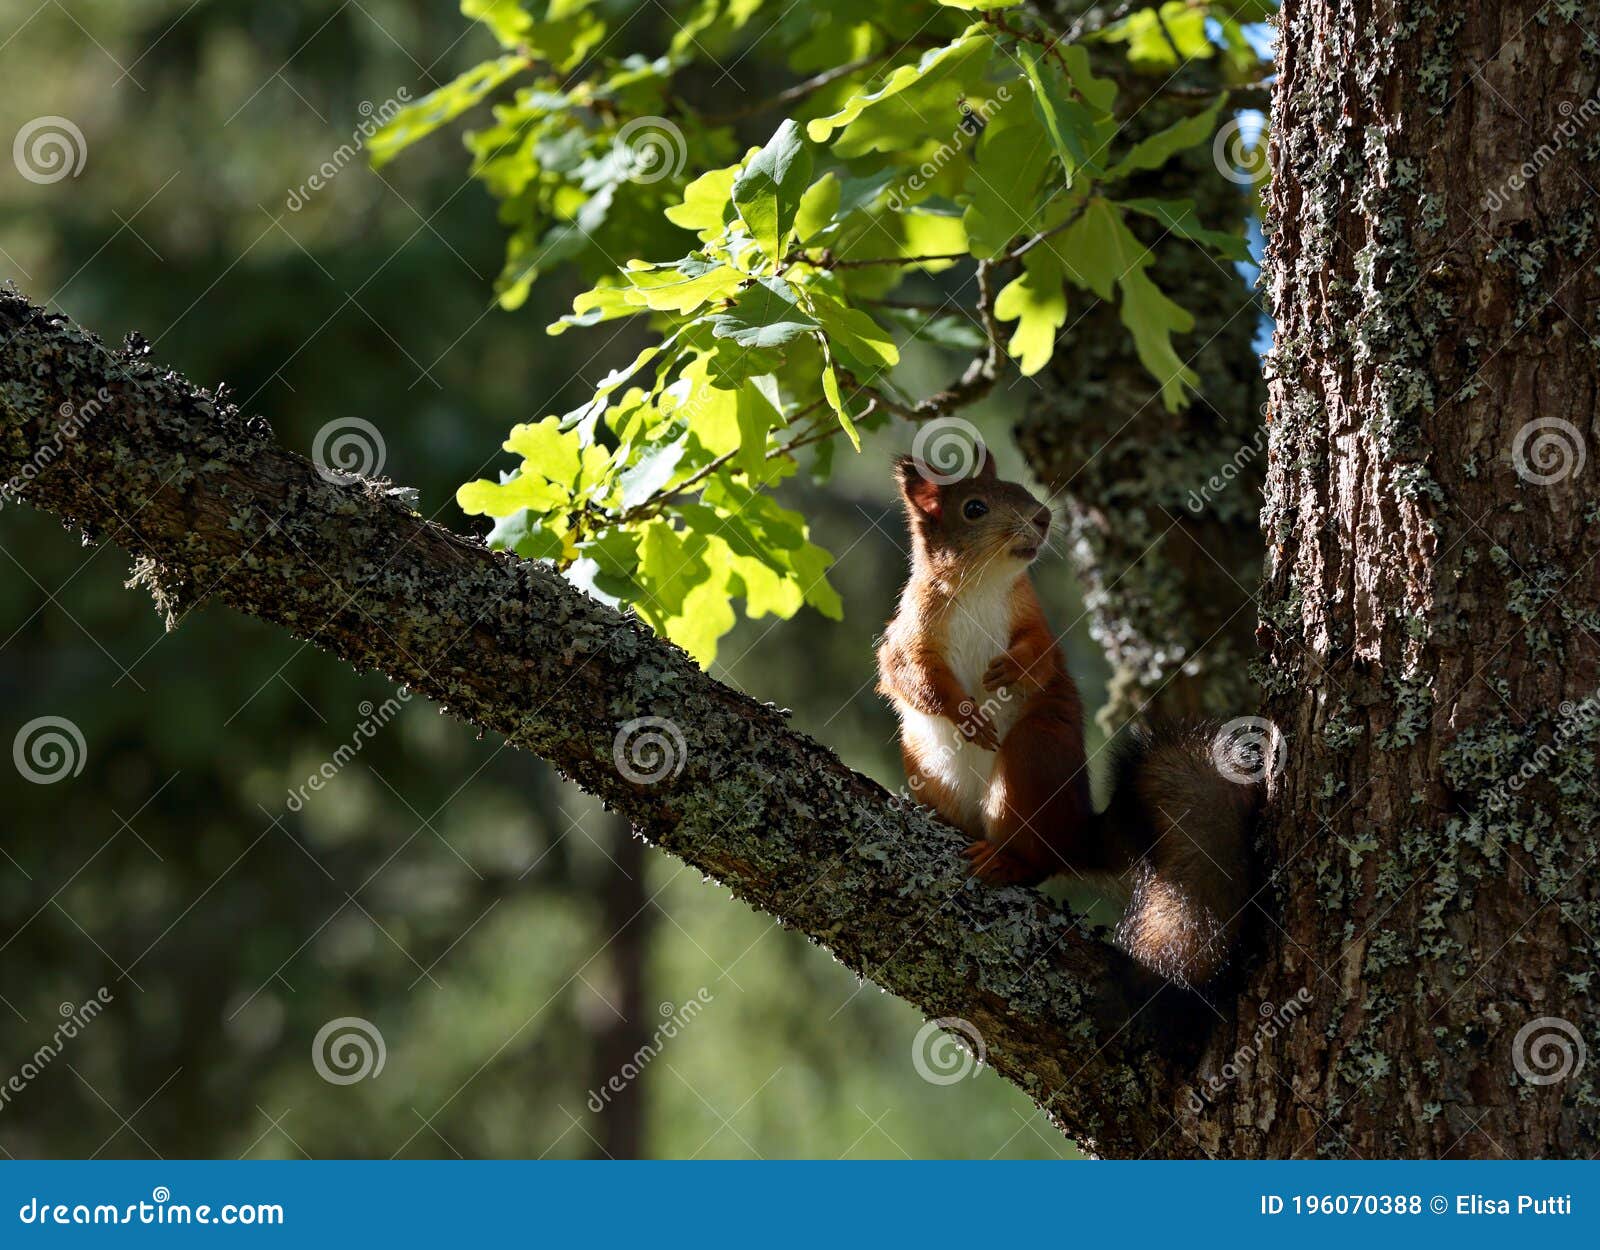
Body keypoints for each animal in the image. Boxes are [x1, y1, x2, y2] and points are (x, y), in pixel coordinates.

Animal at [876, 448, 1259, 987]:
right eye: (974, 509)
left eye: (1021, 489)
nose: (1042, 516)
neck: (981, 586)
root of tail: (1076, 836)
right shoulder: (909, 632)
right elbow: (908, 677)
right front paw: (967, 715)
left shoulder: (1036, 624)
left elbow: (1039, 660)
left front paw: (1011, 671)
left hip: (1031, 757)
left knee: (1038, 861)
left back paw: (1008, 863)